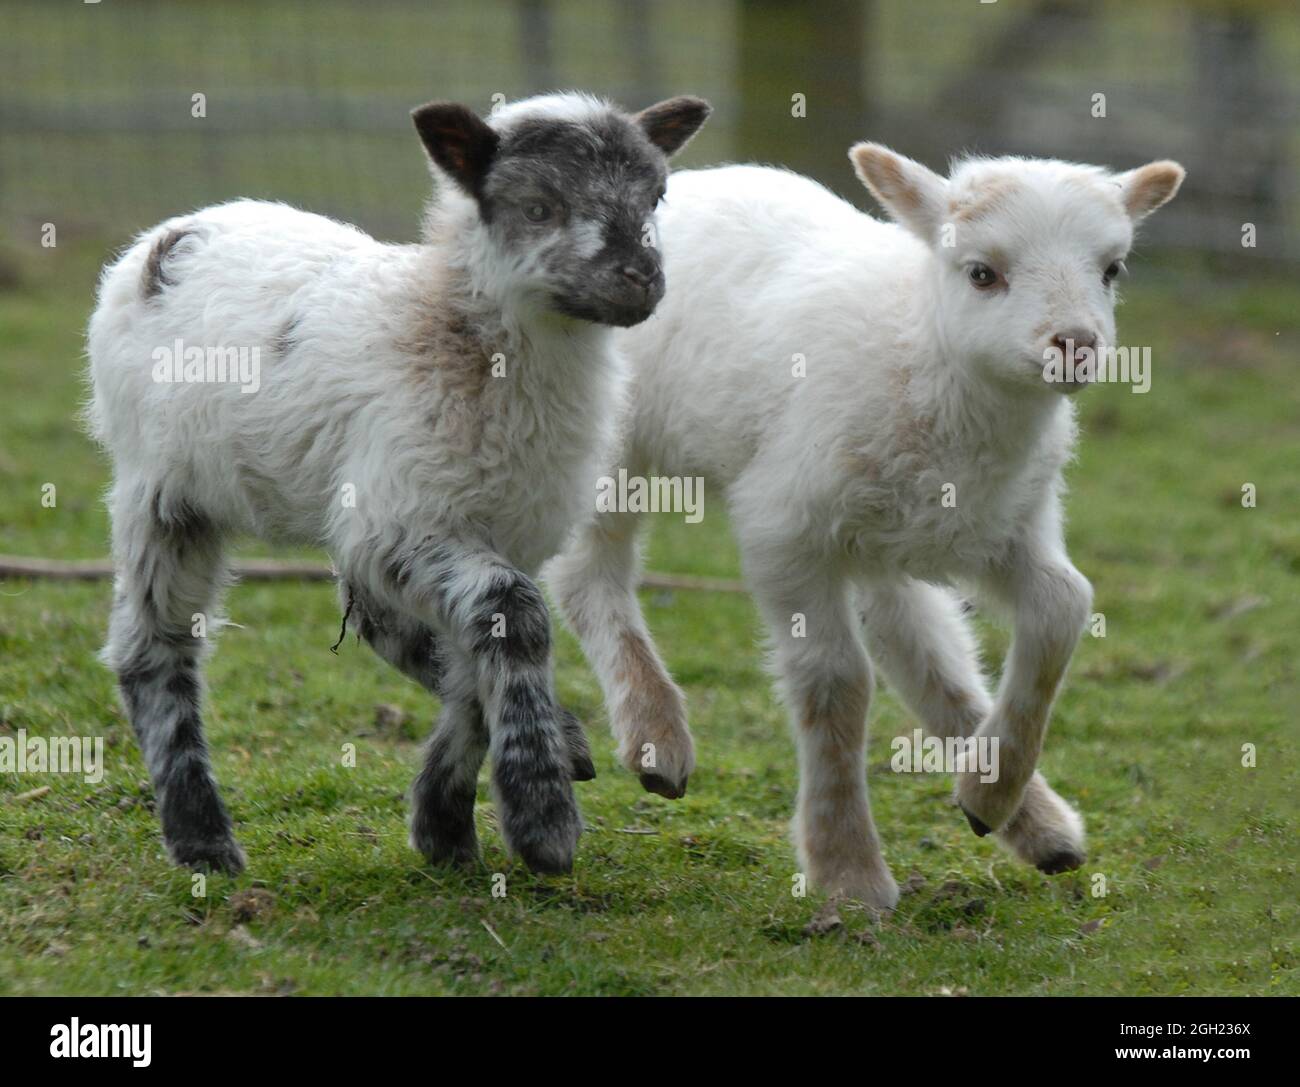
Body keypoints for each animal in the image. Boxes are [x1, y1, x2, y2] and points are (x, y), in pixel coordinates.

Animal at [85, 91, 711, 877]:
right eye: (538, 207)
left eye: (655, 198)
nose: (640, 278)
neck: (454, 329)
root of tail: (169, 236)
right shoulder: (403, 520)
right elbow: (515, 614)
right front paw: (543, 820)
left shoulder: (494, 526)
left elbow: (476, 655)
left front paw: (446, 825)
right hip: (163, 488)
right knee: (153, 648)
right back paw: (203, 840)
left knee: (380, 623)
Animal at [548, 146, 1184, 908]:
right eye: (981, 272)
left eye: (1112, 269)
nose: (1076, 346)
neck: (920, 351)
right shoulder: (785, 526)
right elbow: (836, 682)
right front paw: (847, 871)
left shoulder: (1010, 524)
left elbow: (1064, 605)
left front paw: (992, 789)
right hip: (611, 438)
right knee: (587, 572)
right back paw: (656, 737)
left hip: (892, 535)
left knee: (916, 642)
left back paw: (1032, 820)